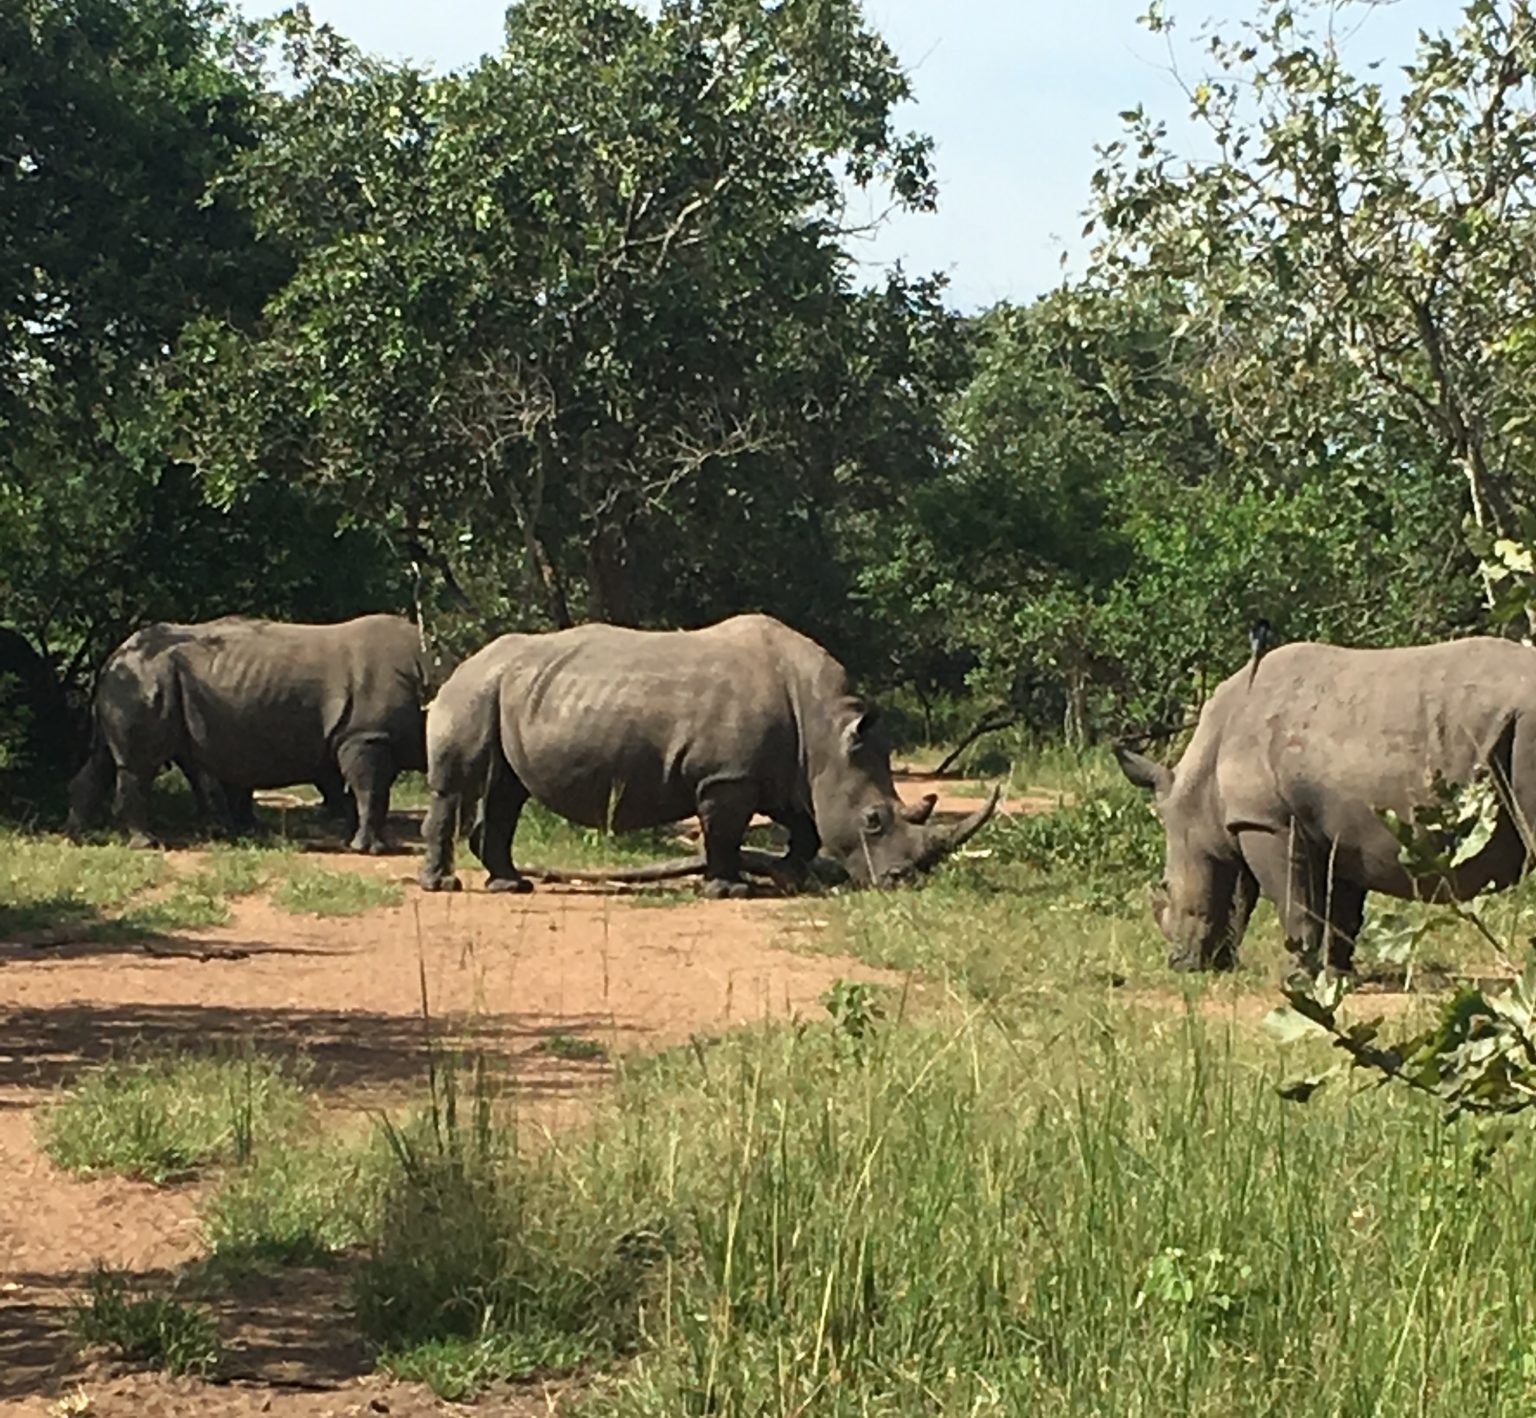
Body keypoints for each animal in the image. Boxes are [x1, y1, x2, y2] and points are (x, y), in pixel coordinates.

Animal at [67, 614, 437, 852]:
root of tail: (112, 658)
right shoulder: (367, 736)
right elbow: (371, 790)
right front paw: (372, 849)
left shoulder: (359, 738)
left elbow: (361, 790)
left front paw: (360, 840)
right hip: (146, 678)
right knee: (139, 765)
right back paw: (147, 844)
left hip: (138, 679)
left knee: (104, 758)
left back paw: (76, 838)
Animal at [418, 614, 998, 896]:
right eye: (874, 820)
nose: (905, 882)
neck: (826, 731)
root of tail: (459, 662)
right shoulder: (727, 776)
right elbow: (724, 831)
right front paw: (730, 889)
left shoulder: (783, 772)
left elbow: (805, 827)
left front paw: (787, 877)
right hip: (474, 689)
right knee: (459, 785)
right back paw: (445, 886)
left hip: (507, 690)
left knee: (507, 791)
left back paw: (510, 885)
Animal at [1115, 636, 1536, 973]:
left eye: (1166, 886)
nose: (1180, 965)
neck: (1198, 789)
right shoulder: (1342, 833)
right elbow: (1336, 911)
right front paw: (1335, 975)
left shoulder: (1265, 821)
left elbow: (1293, 902)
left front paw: (1298, 978)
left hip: (1526, 728)